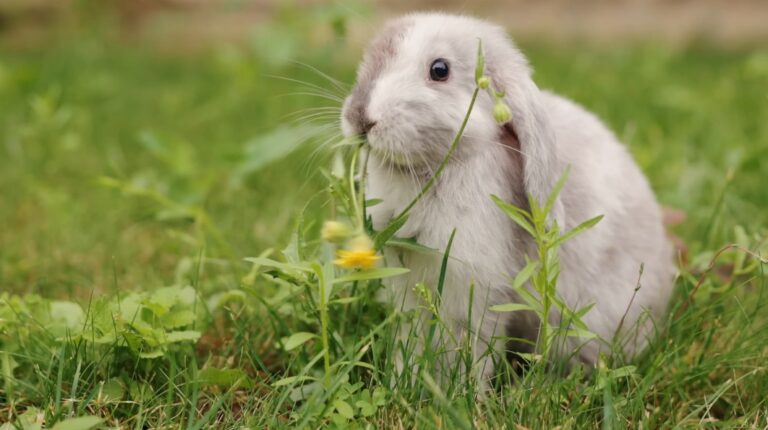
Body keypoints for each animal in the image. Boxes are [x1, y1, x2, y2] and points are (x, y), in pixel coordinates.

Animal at [340, 12, 675, 389]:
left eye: (440, 70)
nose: (360, 118)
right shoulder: (409, 291)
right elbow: (409, 339)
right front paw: (404, 381)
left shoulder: (473, 289)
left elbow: (467, 349)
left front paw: (461, 391)